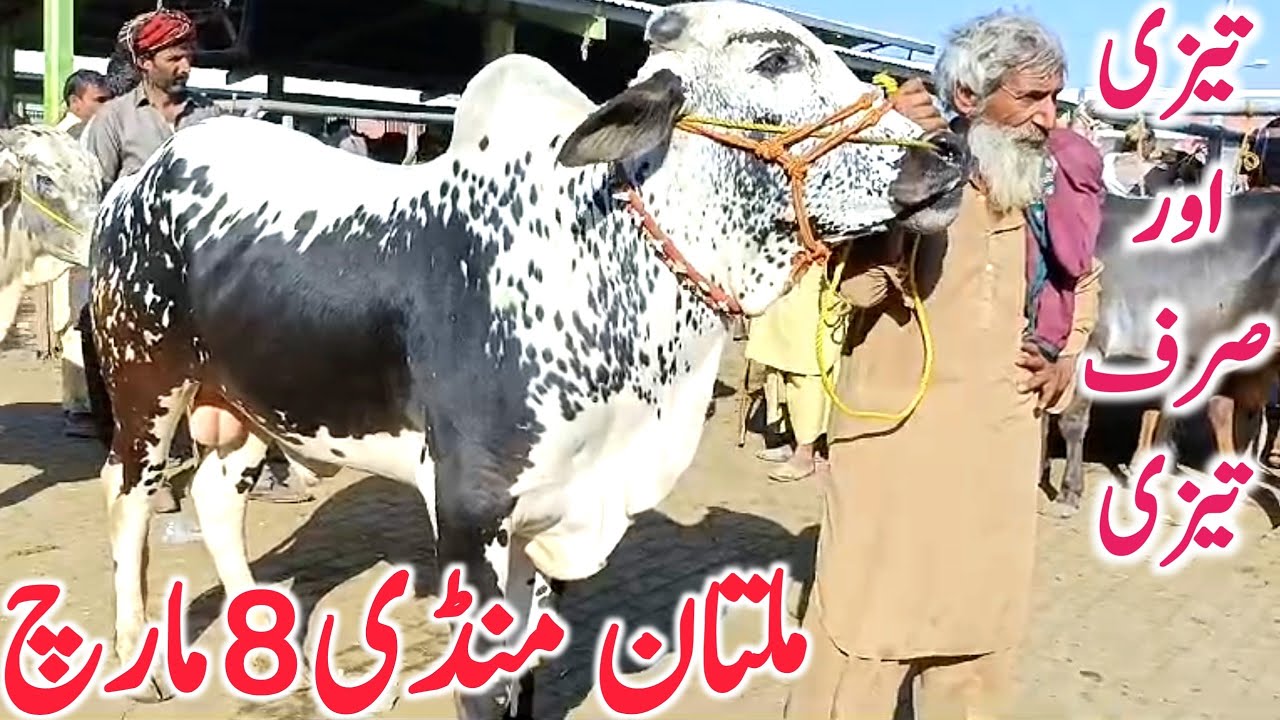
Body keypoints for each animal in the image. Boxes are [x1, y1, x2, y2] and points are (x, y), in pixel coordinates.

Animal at [88, 2, 967, 717]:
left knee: (213, 495)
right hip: (147, 384)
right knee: (127, 496)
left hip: (249, 403)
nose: (949, 151)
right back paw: (139, 658)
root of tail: (141, 179)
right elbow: (482, 681)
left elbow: (525, 669)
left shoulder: (551, 509)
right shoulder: (469, 511)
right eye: (776, 60)